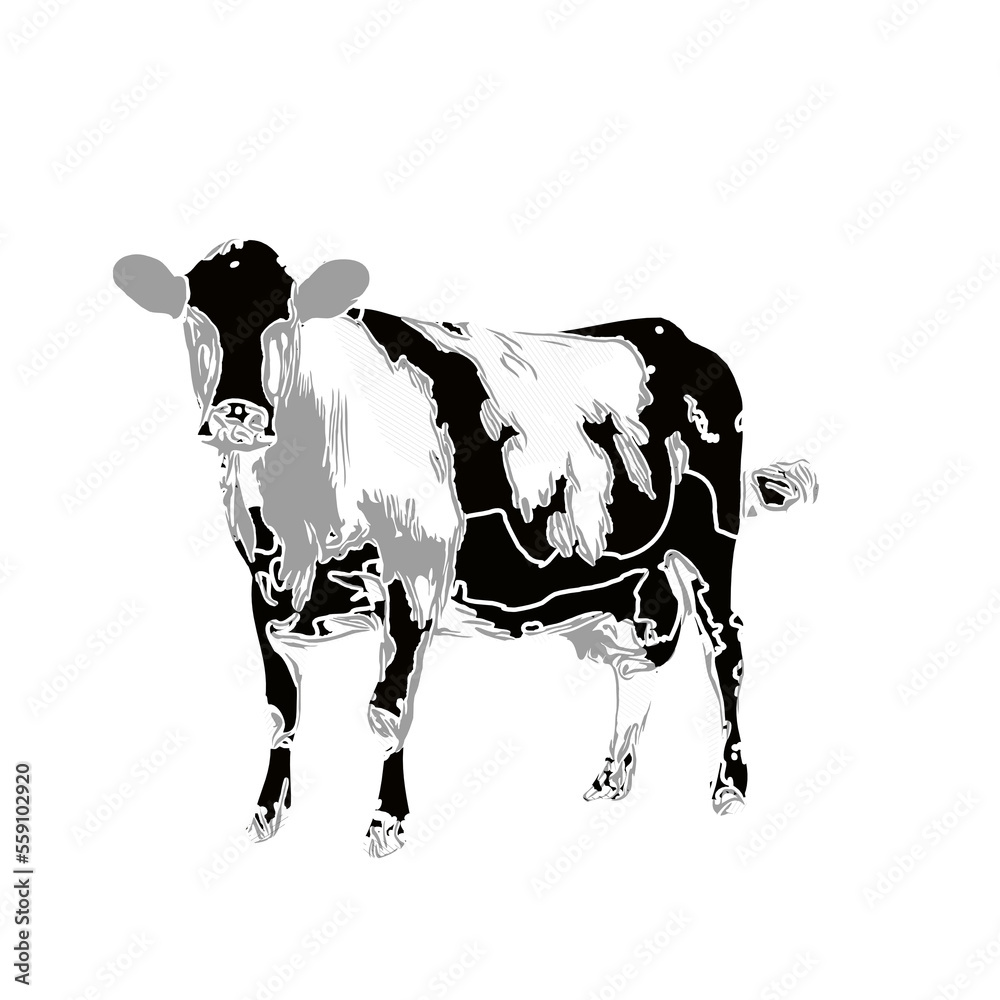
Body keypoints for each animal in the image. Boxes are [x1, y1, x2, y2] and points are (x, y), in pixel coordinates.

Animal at [113, 239, 816, 857]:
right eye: (192, 318)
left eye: (286, 319)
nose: (238, 413)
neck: (298, 524)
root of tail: (676, 335)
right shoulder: (264, 591)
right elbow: (279, 712)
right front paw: (266, 813)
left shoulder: (415, 571)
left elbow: (387, 710)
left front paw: (386, 822)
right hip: (631, 576)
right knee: (638, 661)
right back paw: (612, 777)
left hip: (708, 544)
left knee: (725, 653)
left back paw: (729, 785)